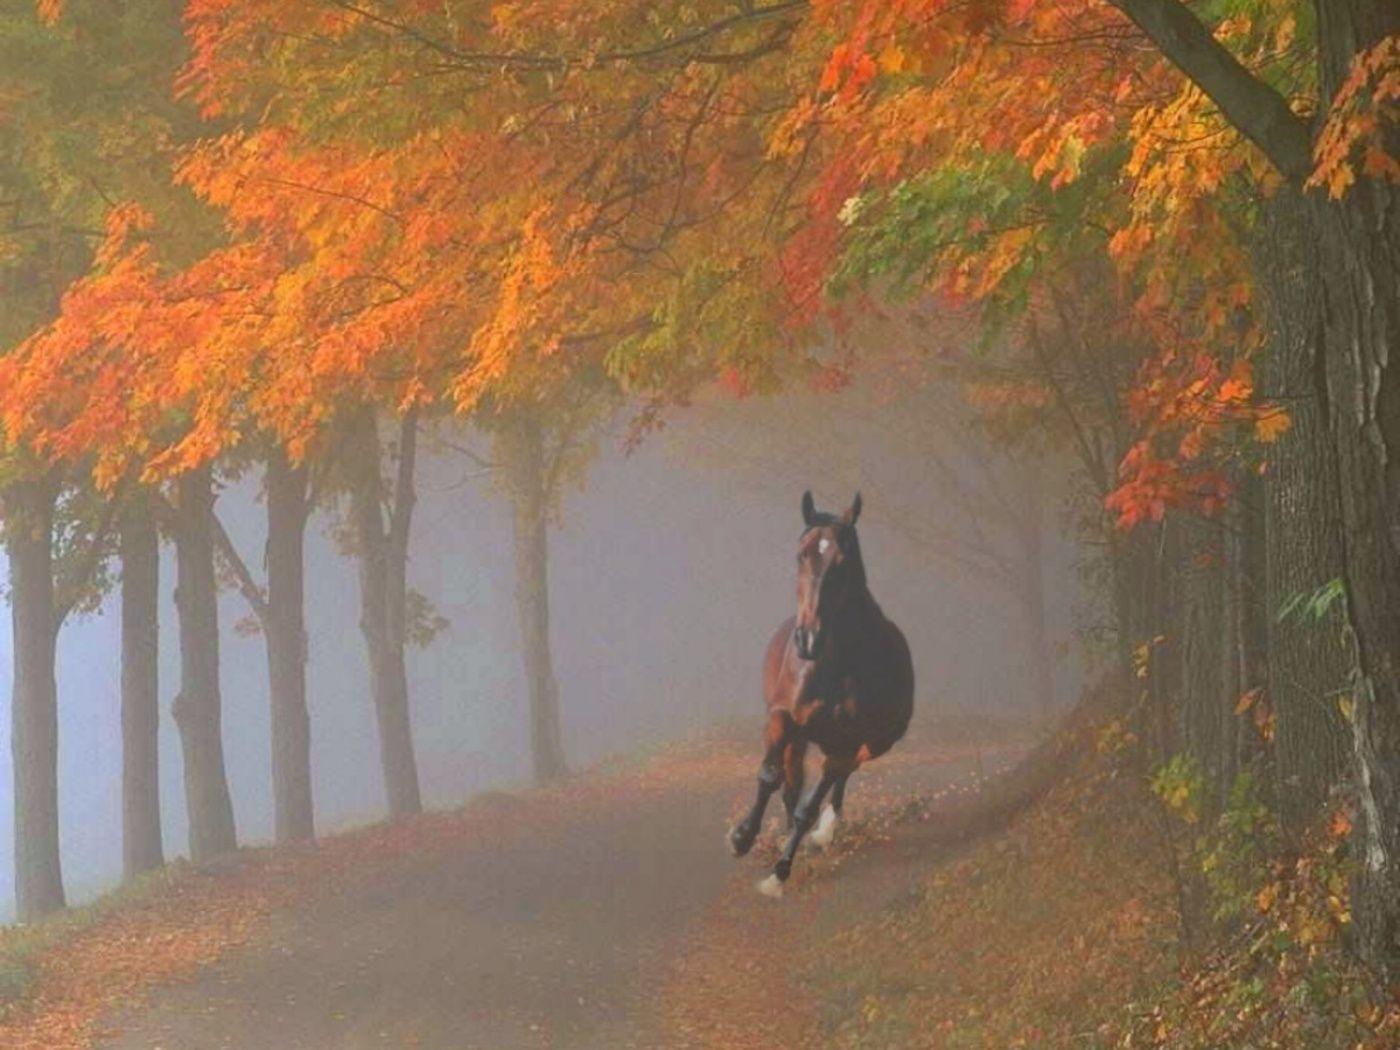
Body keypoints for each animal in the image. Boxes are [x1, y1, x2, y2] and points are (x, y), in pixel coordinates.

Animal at [727, 490, 914, 897]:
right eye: (801, 554)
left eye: (843, 562)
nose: (808, 640)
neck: (836, 664)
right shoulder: (783, 718)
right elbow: (770, 777)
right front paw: (742, 836)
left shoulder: (846, 741)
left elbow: (808, 808)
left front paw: (779, 873)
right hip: (803, 736)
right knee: (794, 783)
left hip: (873, 743)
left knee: (841, 775)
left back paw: (824, 831)